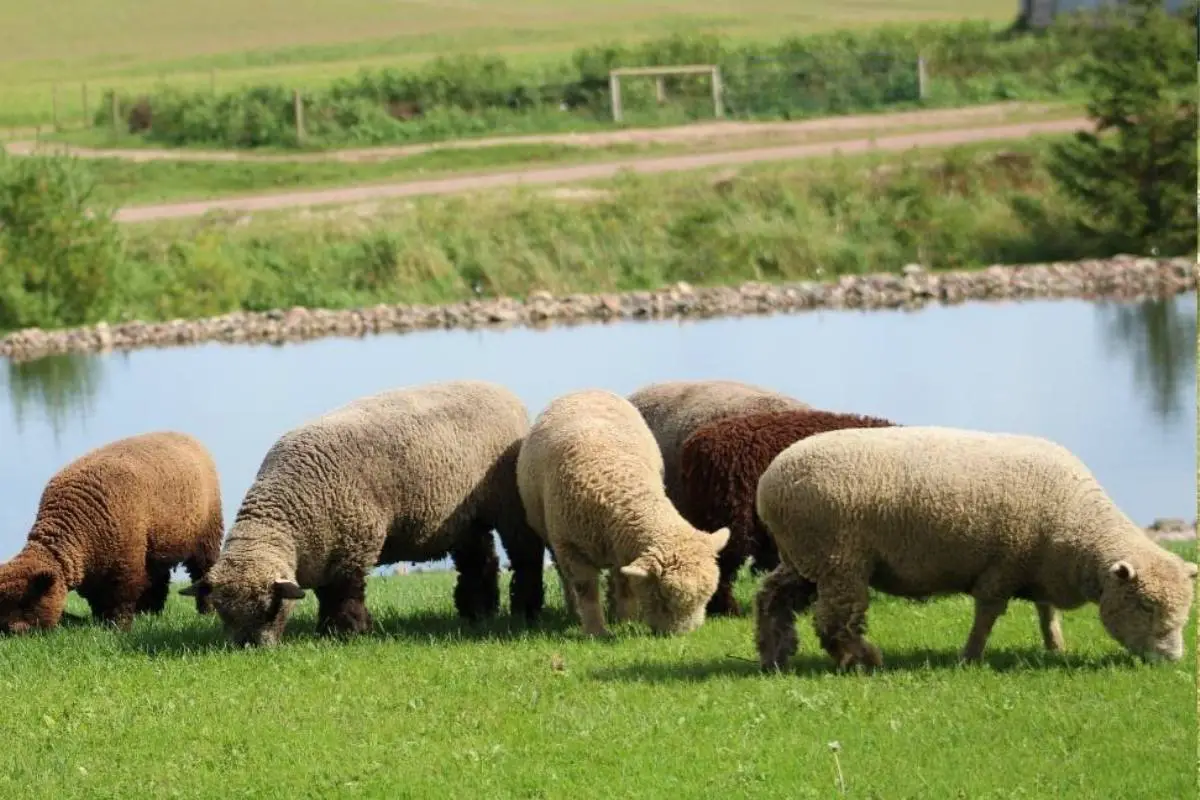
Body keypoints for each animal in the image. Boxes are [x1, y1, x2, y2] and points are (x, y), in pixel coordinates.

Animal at [0, 431, 223, 634]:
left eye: (28, 603)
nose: (13, 632)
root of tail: (189, 437)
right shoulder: (96, 568)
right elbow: (98, 600)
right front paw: (101, 623)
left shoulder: (125, 564)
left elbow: (122, 597)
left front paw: (118, 628)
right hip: (157, 544)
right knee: (159, 578)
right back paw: (150, 613)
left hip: (207, 536)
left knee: (203, 571)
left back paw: (206, 611)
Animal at [180, 380, 545, 646]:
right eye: (223, 613)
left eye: (271, 609)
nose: (248, 648)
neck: (289, 512)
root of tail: (503, 392)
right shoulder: (326, 553)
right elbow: (327, 593)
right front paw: (330, 630)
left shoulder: (354, 544)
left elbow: (344, 594)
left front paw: (347, 632)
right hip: (465, 518)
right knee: (479, 561)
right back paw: (478, 611)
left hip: (510, 504)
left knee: (525, 556)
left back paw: (525, 609)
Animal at [516, 388, 730, 637]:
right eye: (663, 596)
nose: (680, 637)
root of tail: (586, 389)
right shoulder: (571, 548)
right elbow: (586, 590)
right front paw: (596, 631)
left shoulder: (624, 550)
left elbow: (626, 585)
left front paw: (625, 620)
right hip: (552, 539)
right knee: (565, 578)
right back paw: (574, 611)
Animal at [754, 425, 1199, 671]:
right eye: (1145, 606)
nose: (1172, 660)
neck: (1076, 529)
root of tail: (768, 482)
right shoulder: (1004, 564)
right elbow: (987, 615)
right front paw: (969, 658)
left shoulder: (1035, 564)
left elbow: (1046, 612)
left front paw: (1055, 646)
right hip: (838, 559)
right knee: (835, 620)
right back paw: (862, 660)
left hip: (803, 557)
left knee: (771, 596)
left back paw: (773, 654)